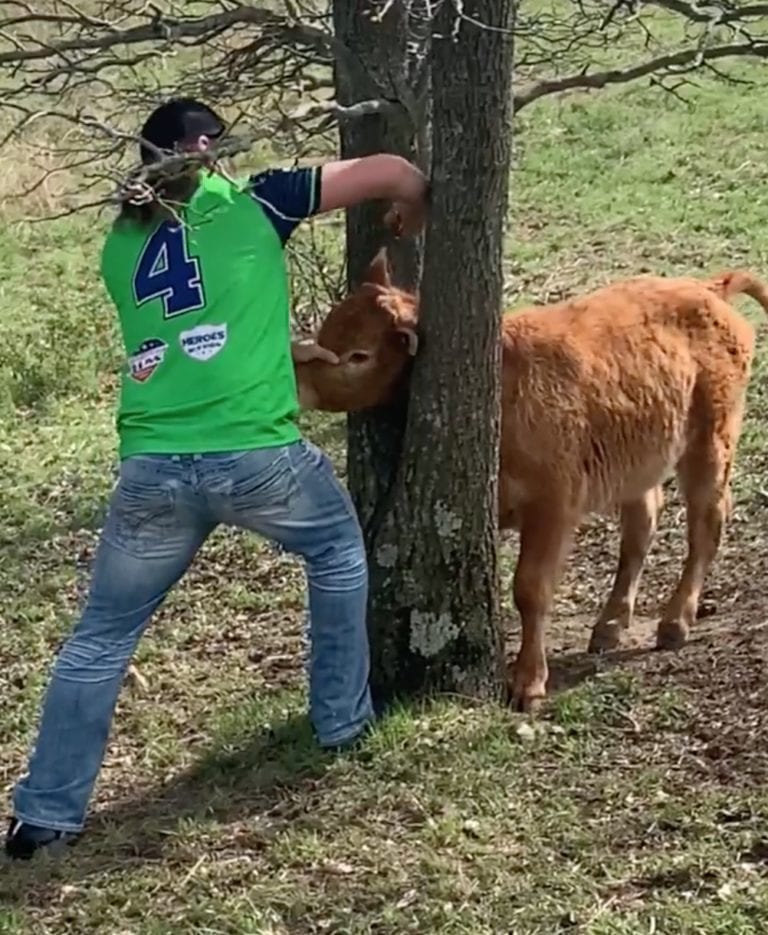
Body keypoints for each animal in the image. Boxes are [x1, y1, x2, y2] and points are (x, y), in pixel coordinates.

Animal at [294, 249, 768, 710]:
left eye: (359, 354)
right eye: (327, 332)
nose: (299, 382)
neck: (505, 386)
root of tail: (708, 288)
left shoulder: (553, 504)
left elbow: (531, 589)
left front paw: (528, 682)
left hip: (711, 442)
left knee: (705, 525)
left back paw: (675, 621)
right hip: (639, 459)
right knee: (641, 527)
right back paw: (611, 623)